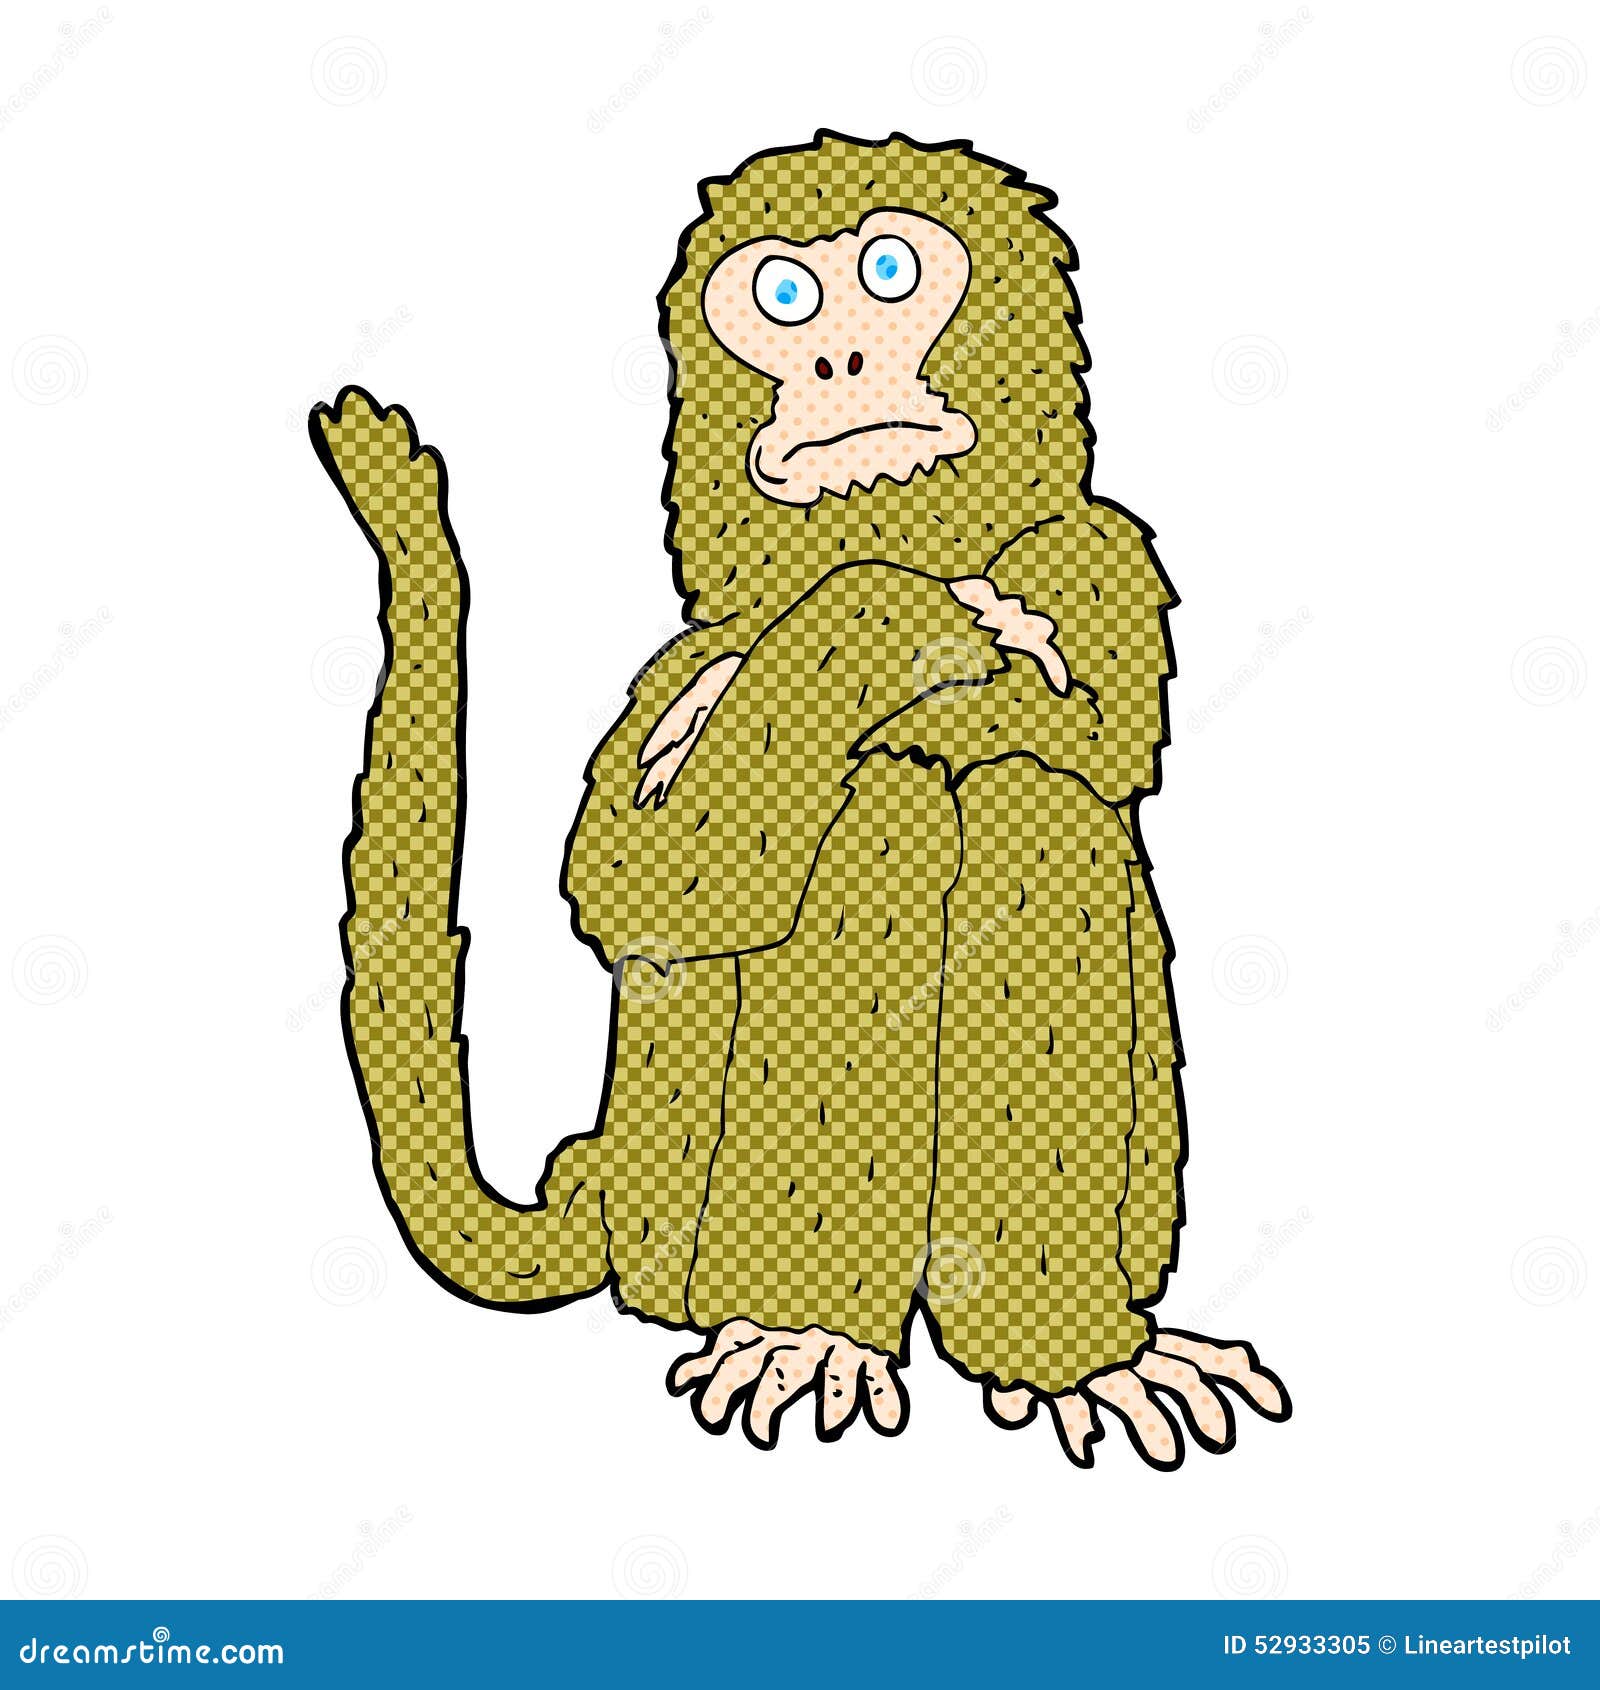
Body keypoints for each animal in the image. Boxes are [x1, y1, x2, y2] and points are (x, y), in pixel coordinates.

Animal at [313, 132, 1289, 1468]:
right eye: (782, 296)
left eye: (887, 272)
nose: (839, 359)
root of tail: (604, 1186)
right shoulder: (687, 648)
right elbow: (639, 880)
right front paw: (907, 617)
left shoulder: (1106, 551)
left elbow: (1088, 730)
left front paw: (976, 638)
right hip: (676, 1207)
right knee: (881, 803)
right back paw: (811, 1332)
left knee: (1027, 797)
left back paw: (1064, 1349)